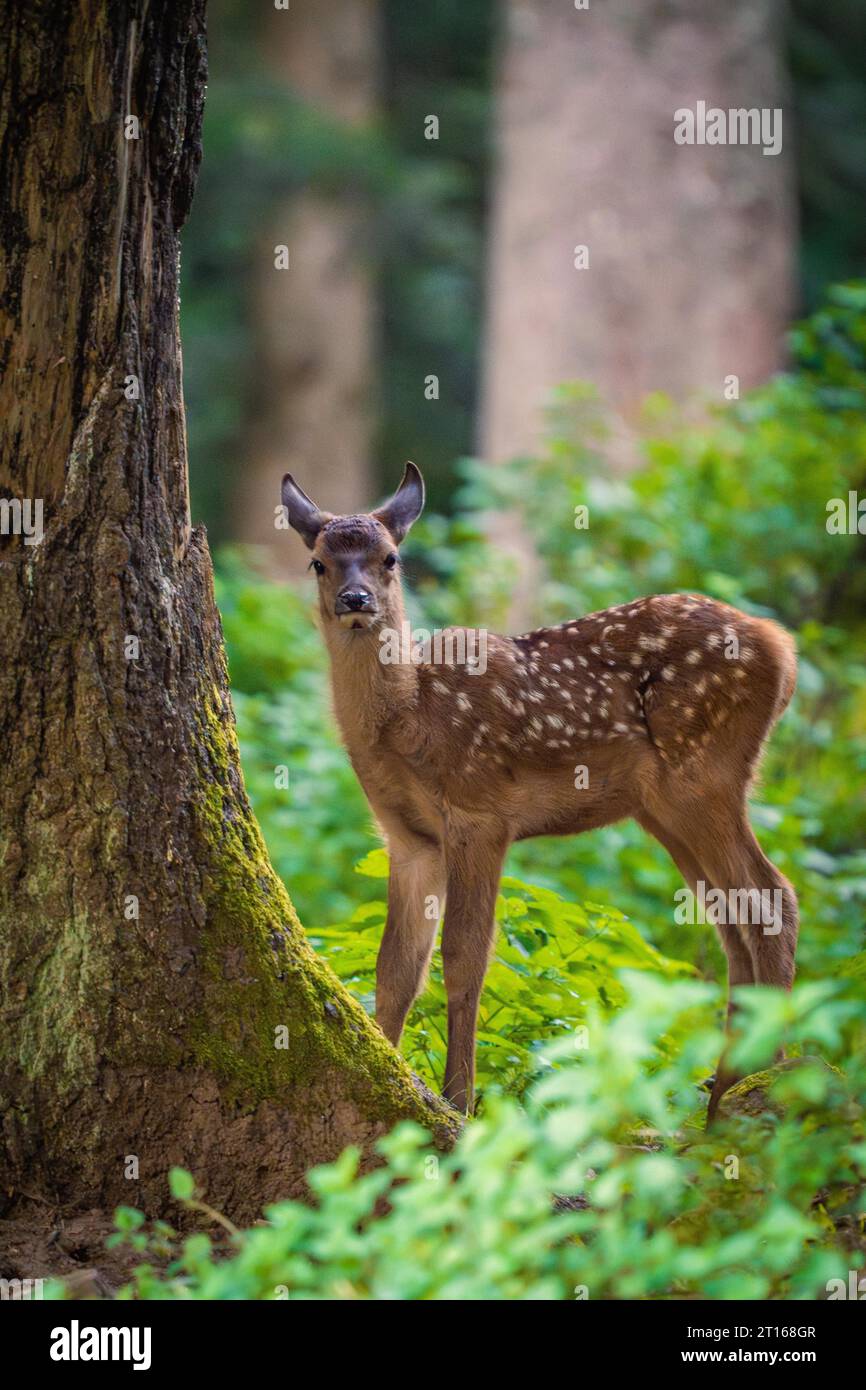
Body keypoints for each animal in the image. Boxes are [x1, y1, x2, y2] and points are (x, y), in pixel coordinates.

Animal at [280, 462, 799, 1118]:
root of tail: (782, 647)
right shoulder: (407, 837)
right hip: (664, 807)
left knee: (772, 899)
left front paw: (459, 1103)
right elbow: (396, 967)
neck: (408, 718)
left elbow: (465, 956)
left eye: (391, 558)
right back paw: (721, 1098)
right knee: (732, 922)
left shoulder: (479, 813)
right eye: (319, 562)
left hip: (706, 772)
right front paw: (390, 1073)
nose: (356, 599)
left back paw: (763, 1087)